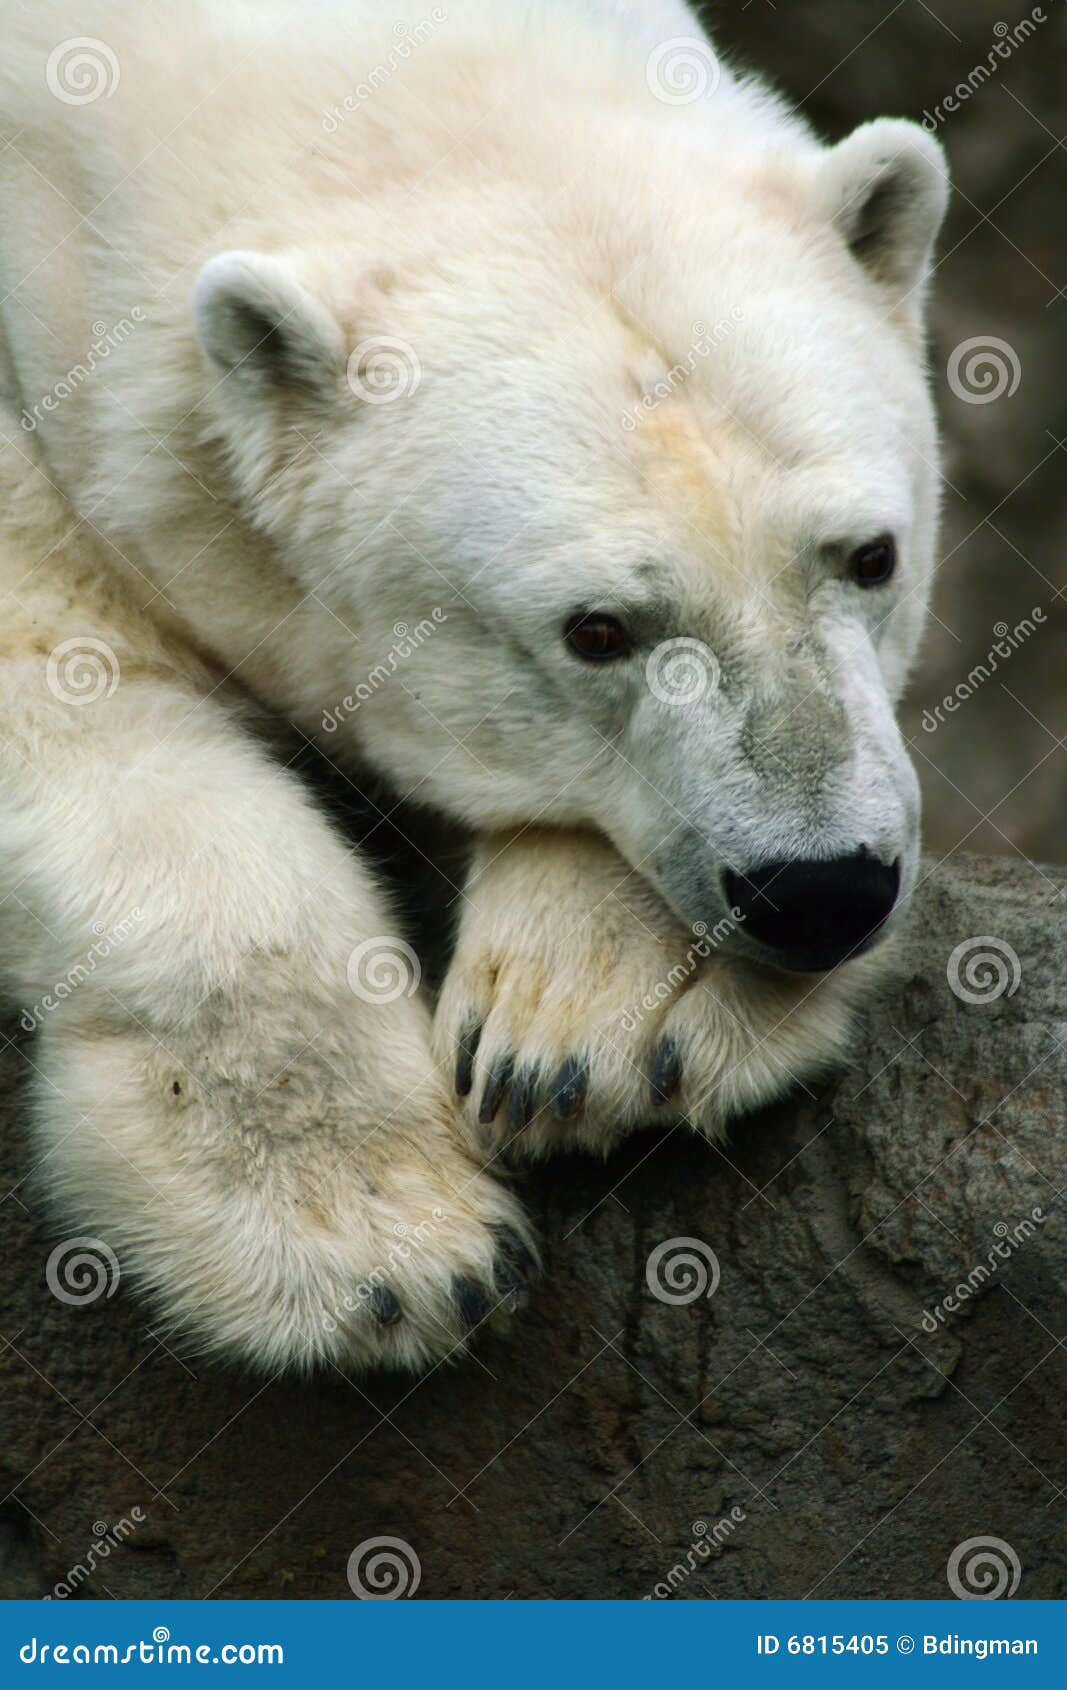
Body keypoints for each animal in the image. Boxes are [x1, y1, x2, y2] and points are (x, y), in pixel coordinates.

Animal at [0, 0, 948, 1372]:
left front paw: (592, 1029)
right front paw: (385, 1244)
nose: (818, 888)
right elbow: (67, 685)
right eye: (595, 629)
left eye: (867, 555)